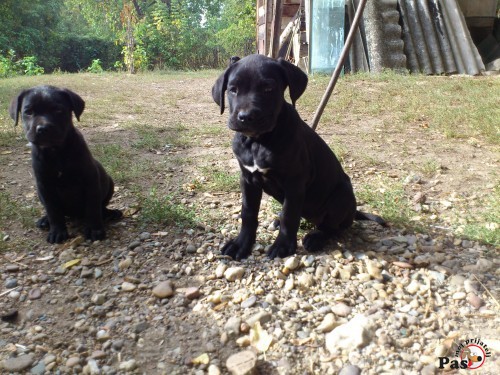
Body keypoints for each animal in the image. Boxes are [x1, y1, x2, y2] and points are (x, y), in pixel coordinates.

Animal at [9, 85, 122, 244]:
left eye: (58, 110)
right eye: (28, 112)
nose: (42, 128)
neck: (56, 151)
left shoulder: (90, 181)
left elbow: (93, 207)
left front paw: (94, 229)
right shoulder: (45, 186)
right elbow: (53, 211)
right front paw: (57, 231)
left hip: (109, 183)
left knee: (100, 206)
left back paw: (109, 213)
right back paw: (45, 221)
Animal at [213, 54, 384, 262]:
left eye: (268, 88)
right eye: (233, 89)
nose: (246, 117)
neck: (258, 141)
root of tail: (353, 212)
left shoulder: (294, 182)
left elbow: (290, 215)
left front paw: (282, 246)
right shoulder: (248, 179)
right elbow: (248, 213)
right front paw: (241, 244)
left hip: (341, 195)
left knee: (333, 227)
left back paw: (316, 237)